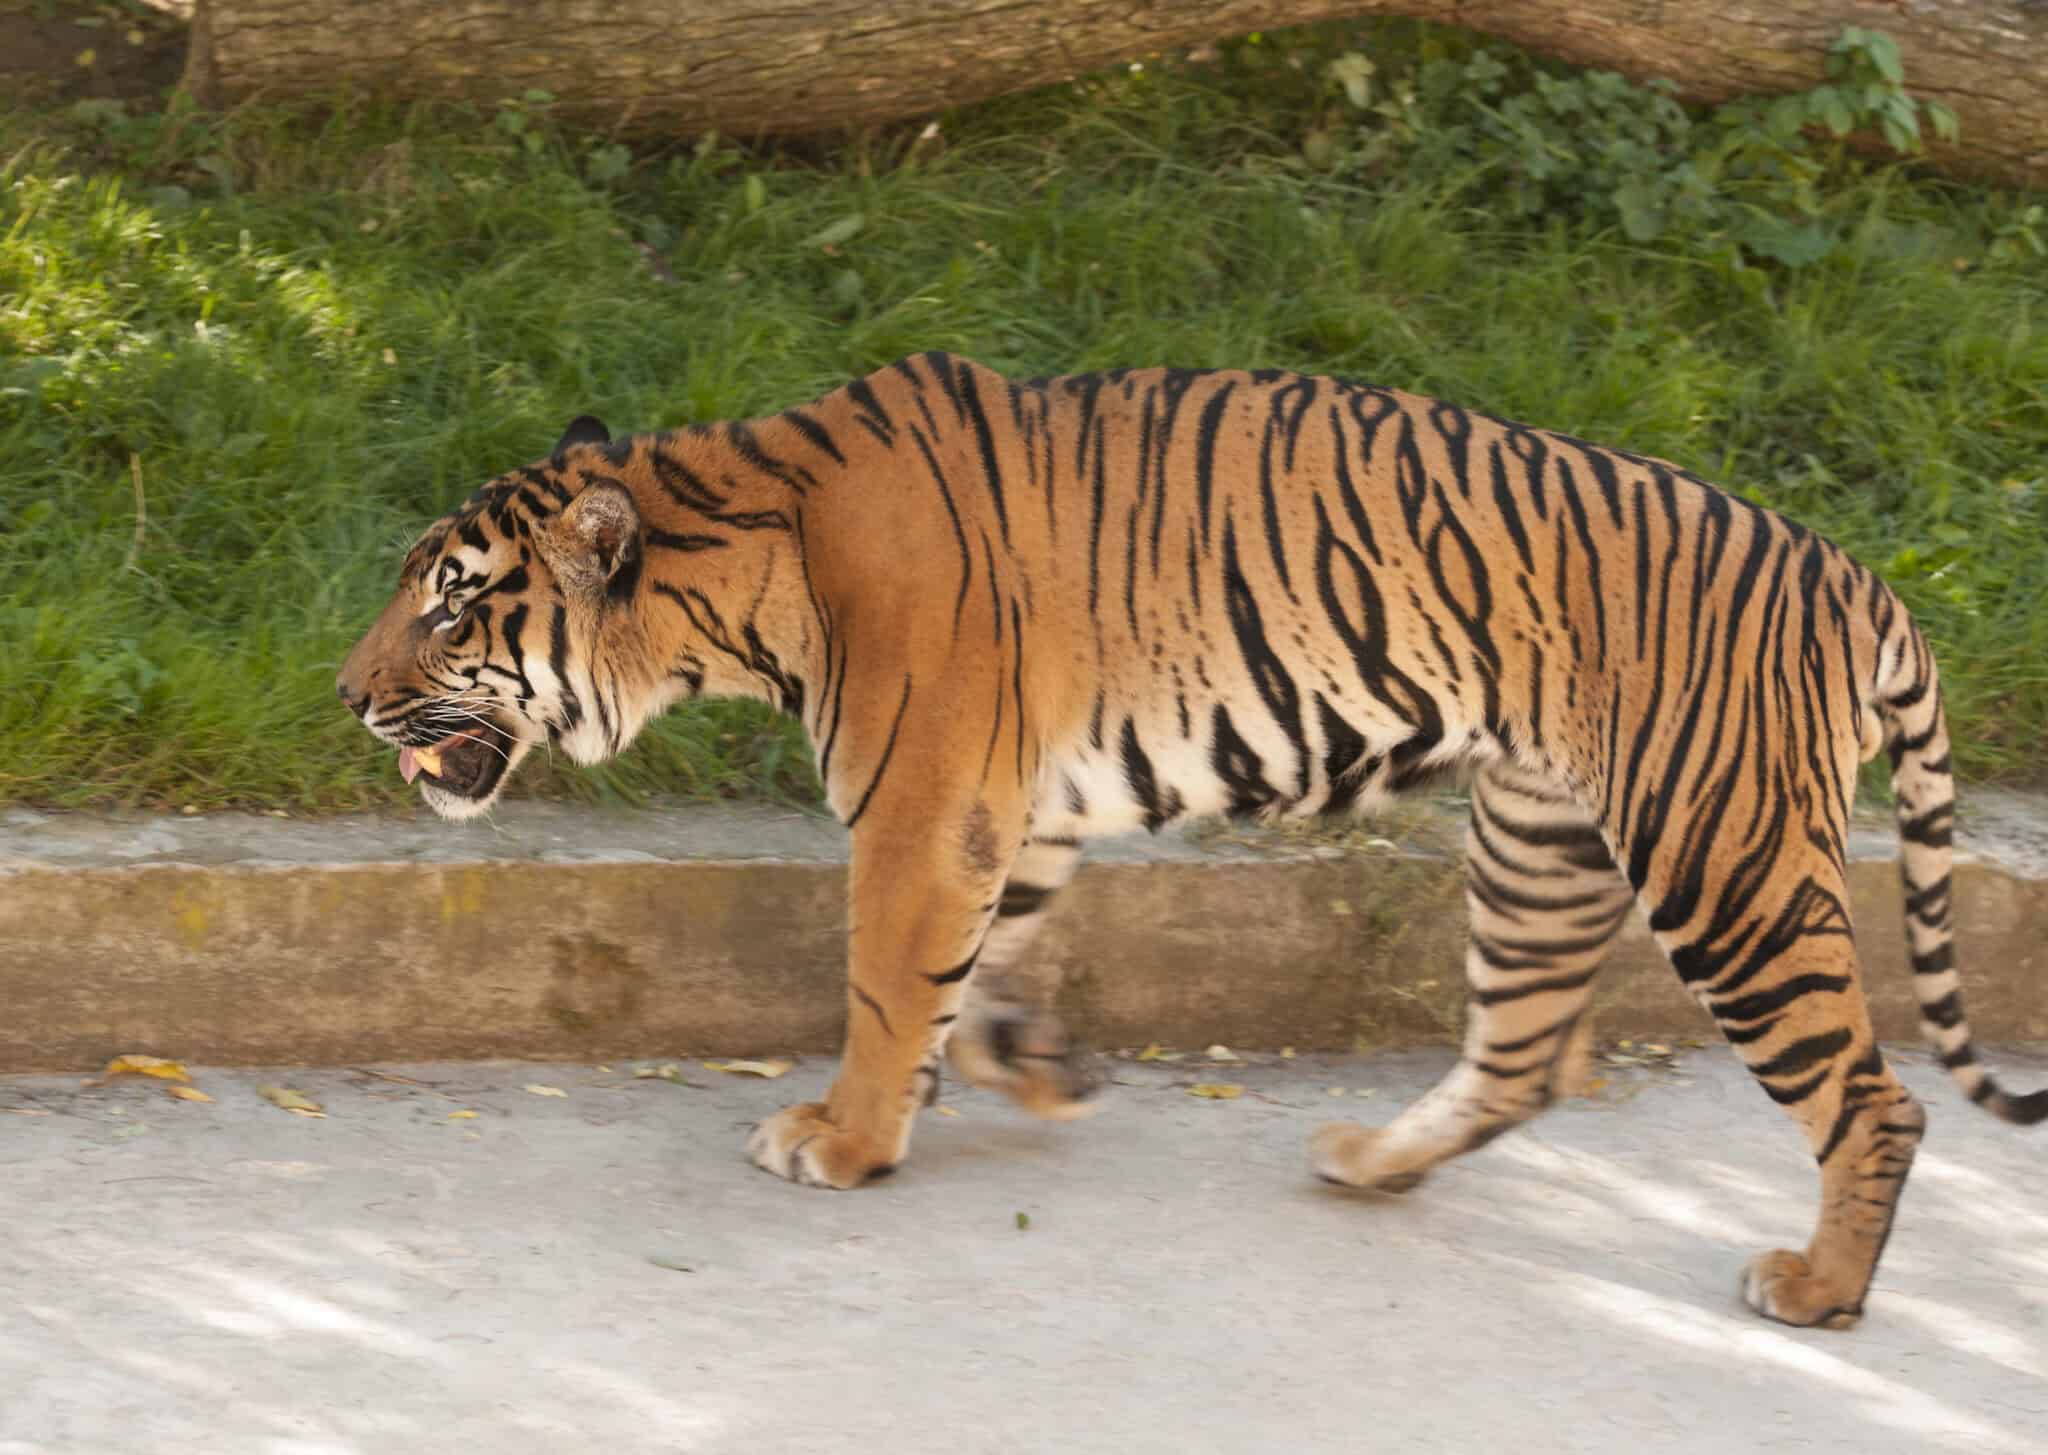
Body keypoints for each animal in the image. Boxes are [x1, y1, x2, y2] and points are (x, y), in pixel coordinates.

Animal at [337, 350, 2044, 1330]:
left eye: (448, 604)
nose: (349, 694)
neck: (742, 551)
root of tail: (1853, 574)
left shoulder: (924, 805)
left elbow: (887, 980)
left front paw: (845, 1135)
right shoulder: (1014, 800)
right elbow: (980, 967)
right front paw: (1034, 1067)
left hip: (1723, 856)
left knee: (1872, 1097)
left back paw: (1816, 1288)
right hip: (1540, 843)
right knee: (1528, 1051)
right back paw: (1367, 1162)